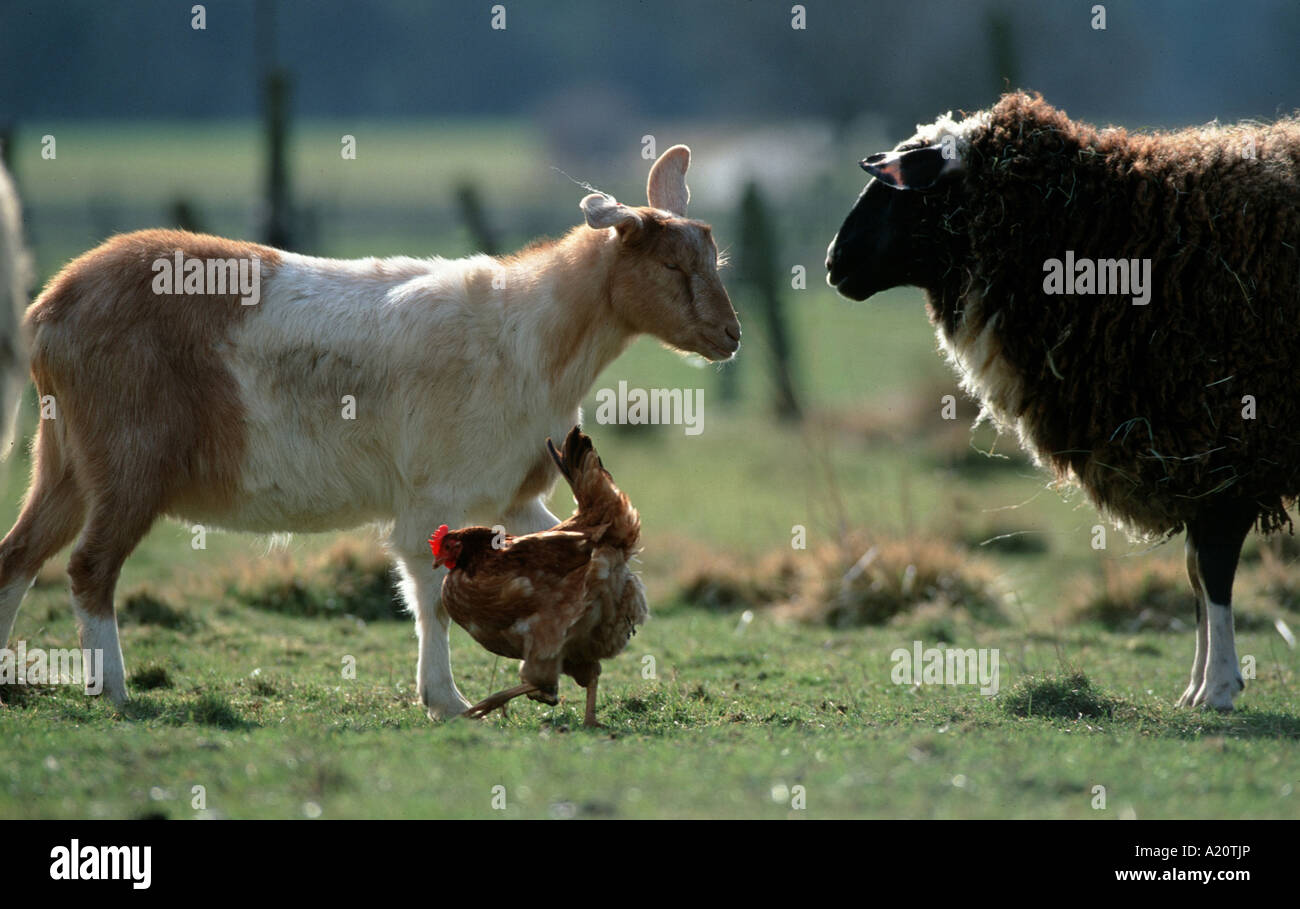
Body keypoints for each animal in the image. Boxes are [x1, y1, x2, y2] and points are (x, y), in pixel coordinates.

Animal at [0, 144, 740, 717]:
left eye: (715, 261)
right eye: (673, 266)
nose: (731, 336)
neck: (530, 337)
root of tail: (46, 309)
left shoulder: (514, 492)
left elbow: (559, 545)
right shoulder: (431, 494)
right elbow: (433, 597)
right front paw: (445, 701)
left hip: (63, 459)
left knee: (18, 556)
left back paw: (12, 682)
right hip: (126, 461)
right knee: (88, 567)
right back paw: (116, 691)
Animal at [826, 91, 1300, 711]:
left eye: (895, 193)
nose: (832, 263)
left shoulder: (1226, 453)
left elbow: (1212, 570)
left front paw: (1217, 687)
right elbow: (1196, 573)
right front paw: (1198, 685)